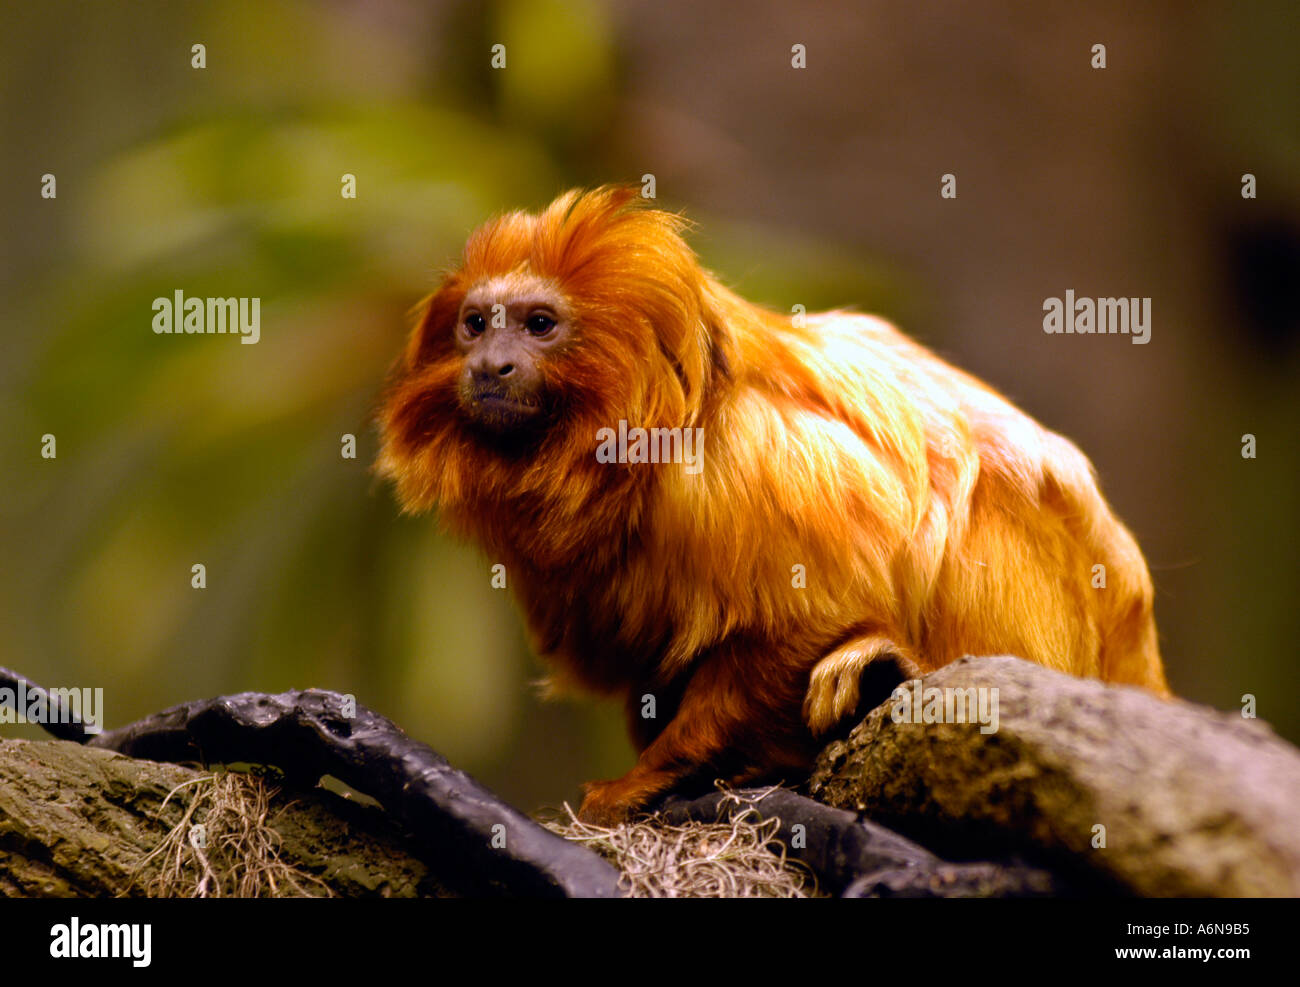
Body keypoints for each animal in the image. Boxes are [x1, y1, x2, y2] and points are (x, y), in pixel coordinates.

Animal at [376, 185, 1169, 826]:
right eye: (476, 324)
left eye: (539, 324)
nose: (491, 366)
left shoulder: (749, 466)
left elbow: (809, 611)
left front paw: (656, 774)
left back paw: (890, 665)